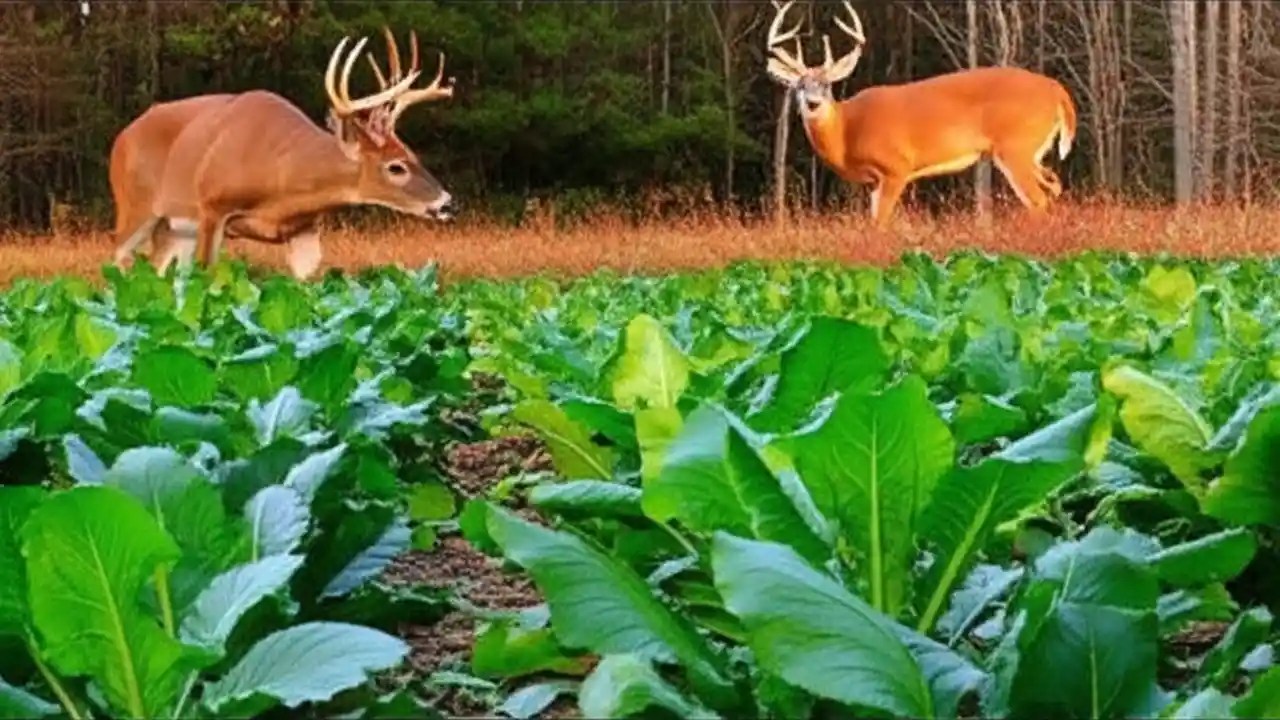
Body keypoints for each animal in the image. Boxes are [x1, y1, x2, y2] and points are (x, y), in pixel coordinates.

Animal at [113, 27, 457, 279]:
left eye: (414, 155)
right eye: (396, 167)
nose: (447, 203)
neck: (281, 180)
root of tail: (123, 135)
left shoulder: (303, 231)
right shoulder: (212, 207)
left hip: (174, 230)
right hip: (134, 206)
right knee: (117, 262)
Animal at [764, 1, 1077, 229]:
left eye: (827, 85)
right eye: (798, 86)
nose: (813, 103)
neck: (847, 130)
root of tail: (1056, 90)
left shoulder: (896, 167)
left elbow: (880, 223)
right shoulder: (875, 182)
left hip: (1016, 146)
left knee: (1038, 200)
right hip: (1030, 150)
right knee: (1054, 186)